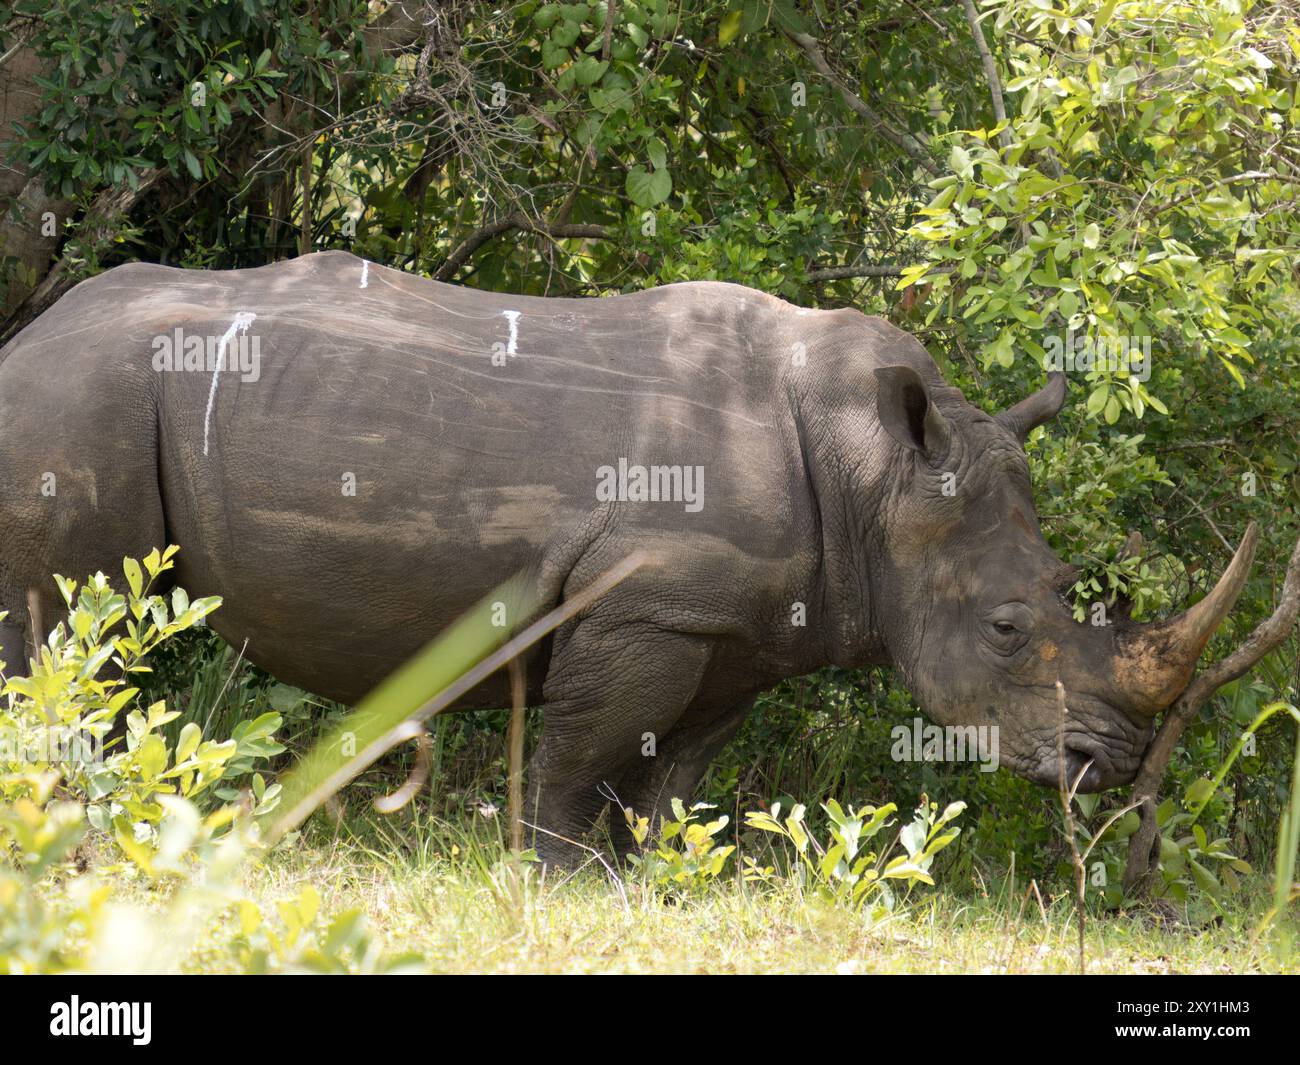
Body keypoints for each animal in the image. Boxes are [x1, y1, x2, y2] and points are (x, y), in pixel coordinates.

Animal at [0, 251, 1253, 863]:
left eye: (1063, 594)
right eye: (1004, 629)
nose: (1108, 766)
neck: (878, 479)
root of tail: (28, 335)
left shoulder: (735, 628)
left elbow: (671, 775)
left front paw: (658, 880)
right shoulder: (642, 607)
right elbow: (581, 758)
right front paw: (554, 879)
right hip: (78, 400)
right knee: (62, 628)